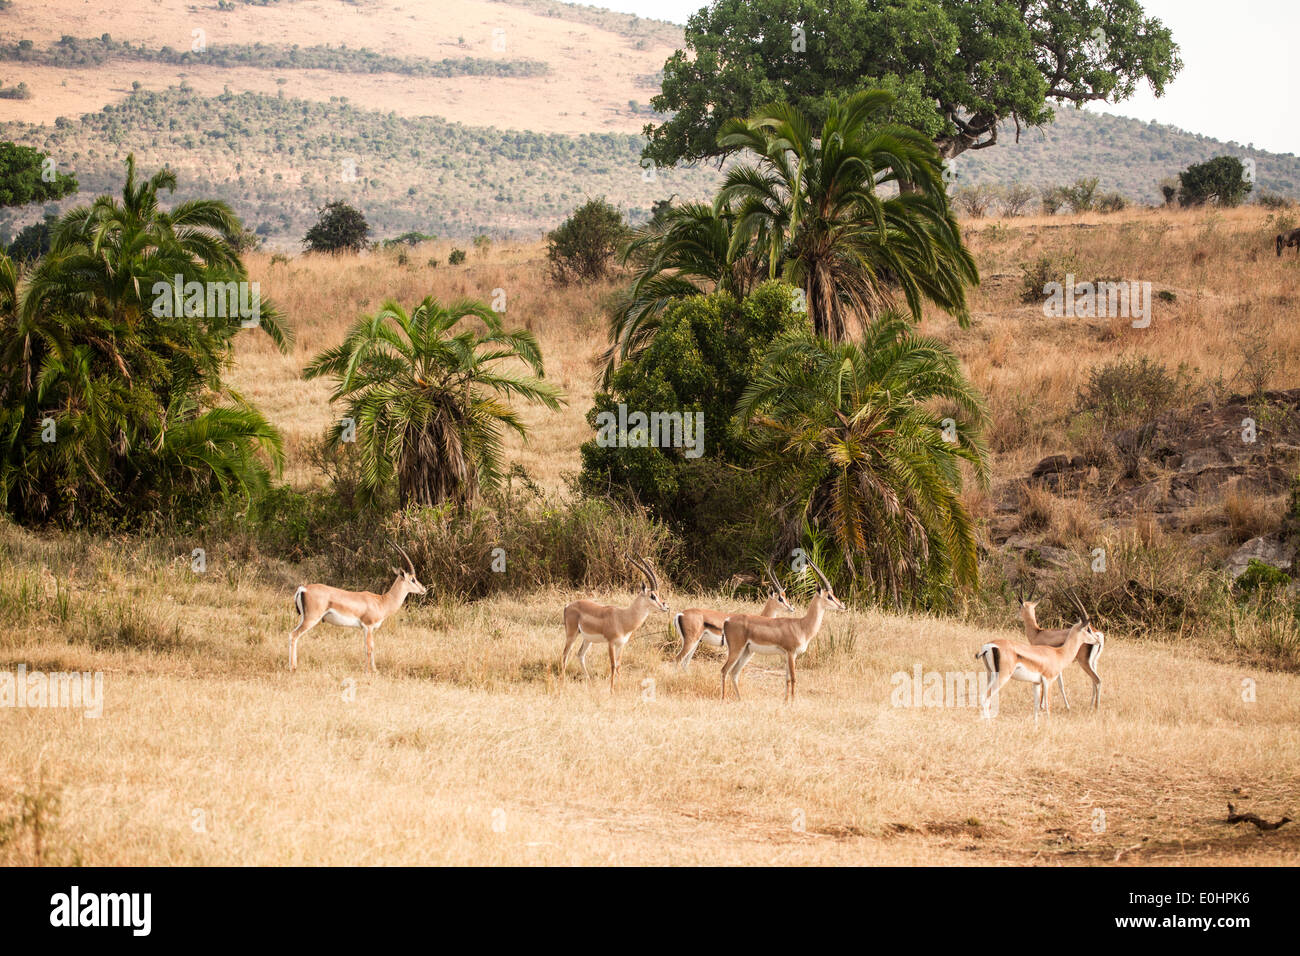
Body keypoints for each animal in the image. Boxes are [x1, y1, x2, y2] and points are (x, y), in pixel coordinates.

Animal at [288, 543, 428, 673]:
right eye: (413, 579)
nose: (424, 589)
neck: (381, 601)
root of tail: (303, 589)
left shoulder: (368, 629)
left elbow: (371, 647)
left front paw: (374, 670)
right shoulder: (368, 626)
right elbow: (369, 648)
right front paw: (368, 671)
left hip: (304, 618)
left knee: (292, 634)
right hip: (311, 619)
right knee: (294, 635)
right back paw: (293, 668)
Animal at [560, 556, 670, 692]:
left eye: (658, 594)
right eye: (652, 596)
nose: (666, 607)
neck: (622, 618)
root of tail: (567, 606)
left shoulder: (621, 644)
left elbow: (618, 665)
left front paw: (619, 688)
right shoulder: (611, 643)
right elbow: (612, 665)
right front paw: (611, 690)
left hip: (587, 639)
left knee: (580, 655)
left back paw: (589, 683)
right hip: (572, 635)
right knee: (564, 655)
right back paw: (562, 683)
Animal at [719, 559, 845, 702]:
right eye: (829, 596)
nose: (842, 605)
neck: (801, 626)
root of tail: (727, 620)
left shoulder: (787, 656)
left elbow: (787, 679)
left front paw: (785, 702)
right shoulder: (791, 653)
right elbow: (794, 678)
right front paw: (792, 702)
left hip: (746, 652)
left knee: (734, 672)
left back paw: (740, 699)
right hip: (736, 650)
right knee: (724, 670)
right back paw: (723, 699)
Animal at [976, 594, 1104, 718]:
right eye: (1088, 629)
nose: (1096, 640)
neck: (1059, 653)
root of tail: (989, 646)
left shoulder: (1036, 683)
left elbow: (1037, 706)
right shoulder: (1047, 681)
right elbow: (1048, 705)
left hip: (990, 675)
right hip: (1002, 677)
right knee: (986, 699)